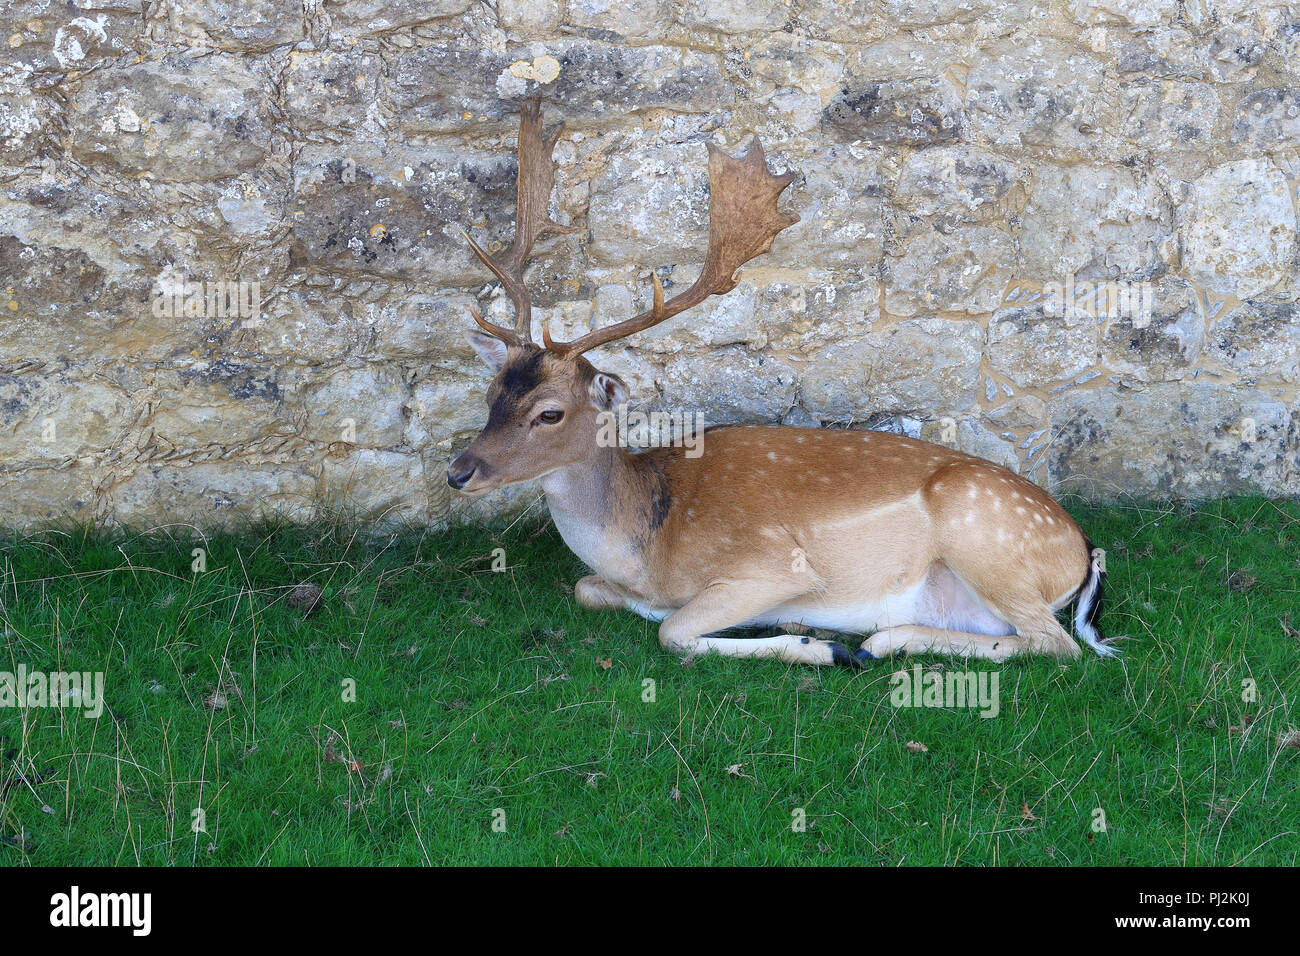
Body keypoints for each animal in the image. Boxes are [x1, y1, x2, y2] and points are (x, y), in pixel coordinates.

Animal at [446, 99, 1116, 667]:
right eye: (491, 394)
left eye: (550, 412)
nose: (459, 471)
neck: (648, 548)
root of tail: (1083, 552)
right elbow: (589, 589)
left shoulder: (776, 567)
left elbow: (673, 631)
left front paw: (817, 645)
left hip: (986, 539)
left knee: (1058, 645)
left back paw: (871, 642)